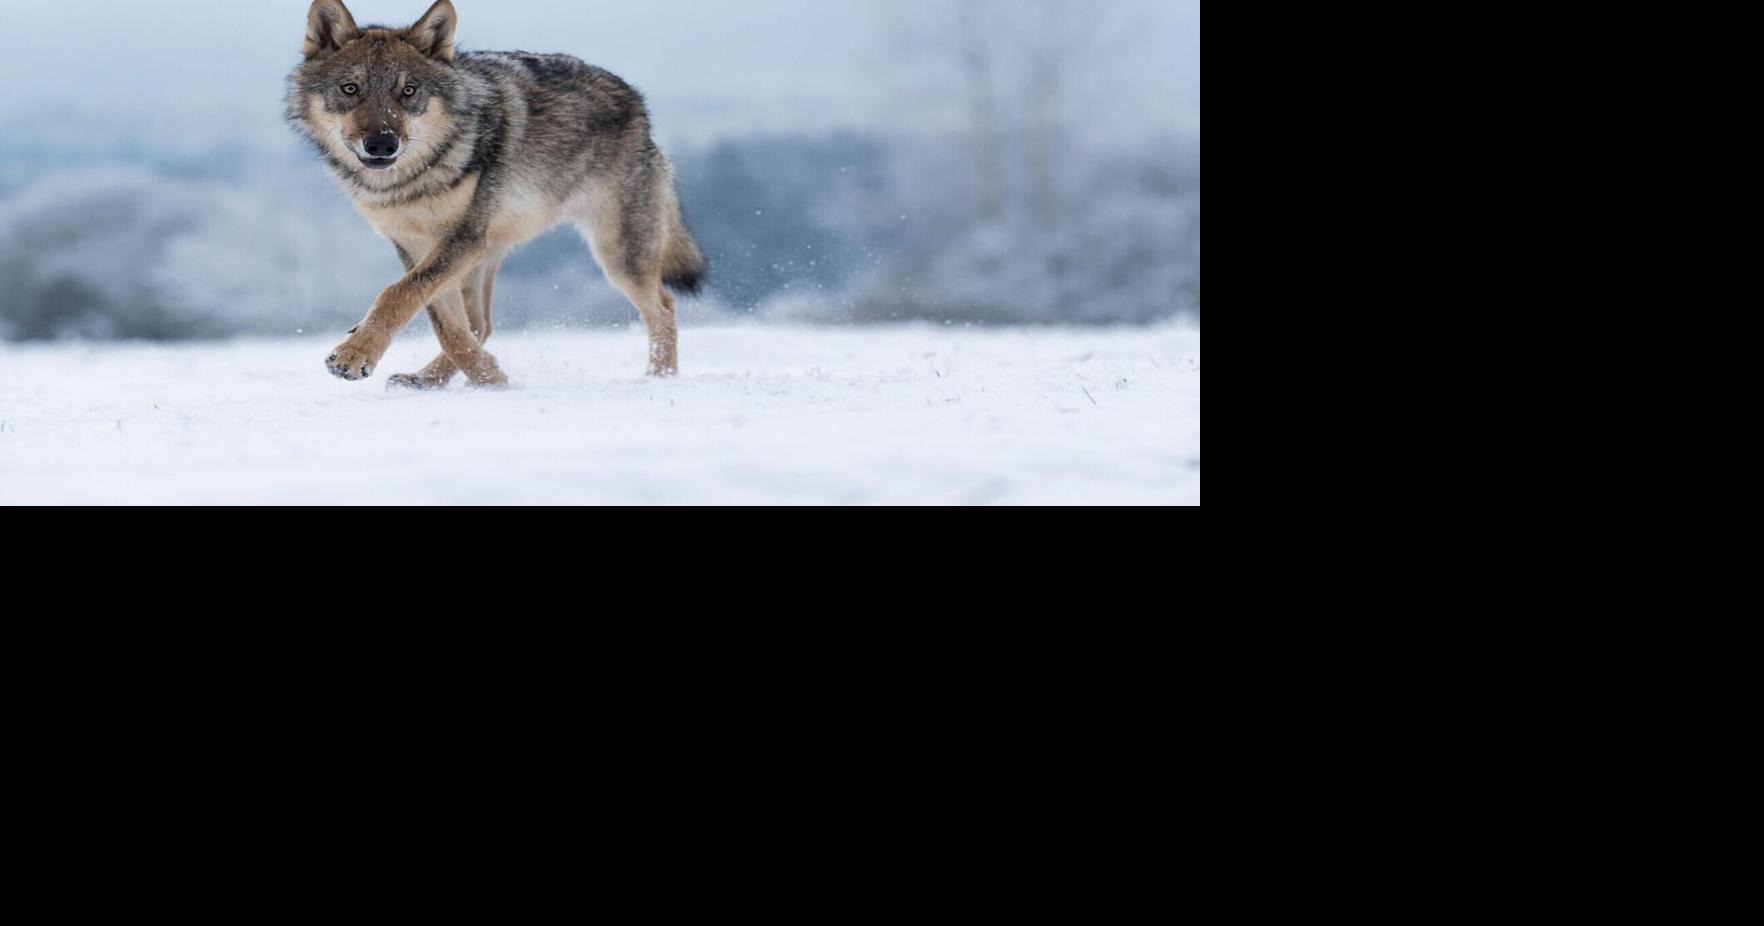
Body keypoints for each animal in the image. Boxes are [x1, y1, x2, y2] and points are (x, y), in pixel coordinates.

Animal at [286, 0, 706, 386]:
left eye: (408, 91)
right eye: (350, 89)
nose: (382, 145)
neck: (411, 181)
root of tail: (638, 103)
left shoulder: (463, 238)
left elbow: (399, 295)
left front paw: (354, 354)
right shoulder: (415, 244)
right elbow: (441, 321)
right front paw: (489, 376)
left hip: (617, 255)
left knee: (663, 308)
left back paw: (659, 378)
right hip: (490, 253)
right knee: (479, 324)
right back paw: (428, 379)